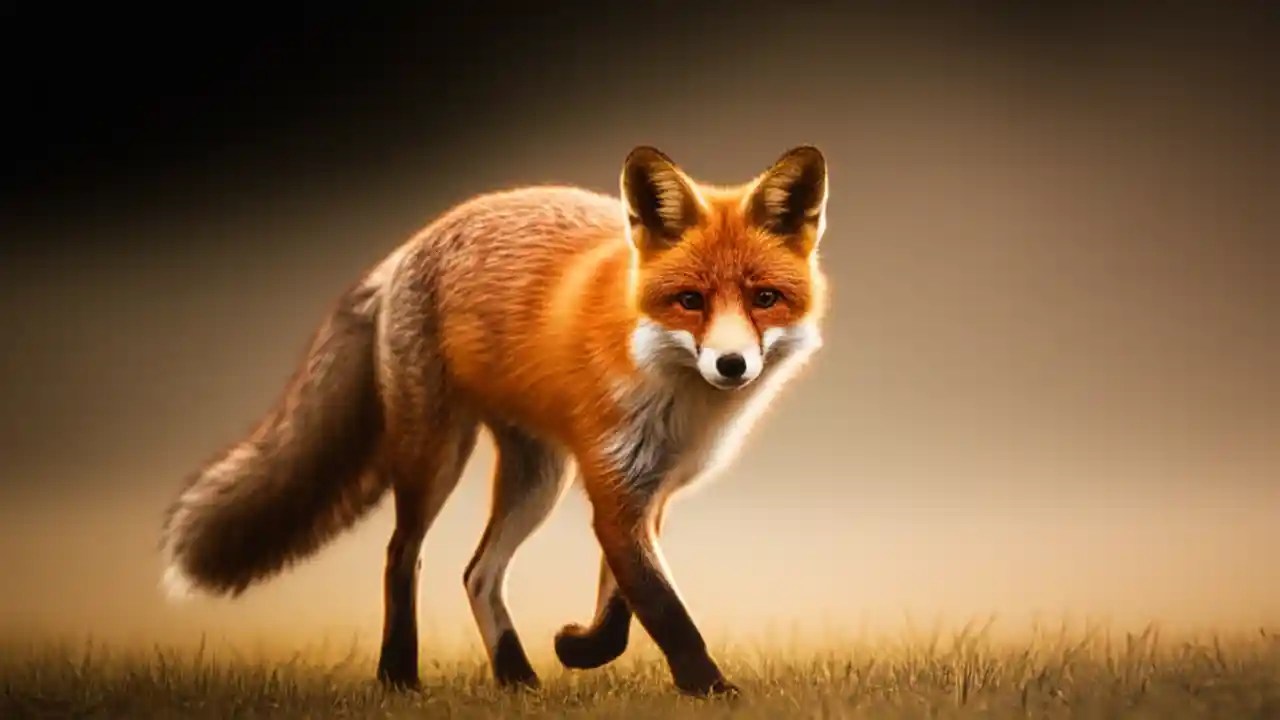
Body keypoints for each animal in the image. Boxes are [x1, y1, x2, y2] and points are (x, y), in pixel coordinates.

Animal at [159, 144, 831, 697]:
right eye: (690, 301)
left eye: (764, 299)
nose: (731, 364)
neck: (675, 393)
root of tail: (408, 246)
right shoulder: (615, 486)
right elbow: (665, 610)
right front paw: (712, 689)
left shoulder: (648, 491)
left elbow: (623, 606)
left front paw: (581, 649)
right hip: (434, 456)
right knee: (403, 555)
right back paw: (399, 675)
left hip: (539, 479)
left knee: (477, 573)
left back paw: (515, 676)